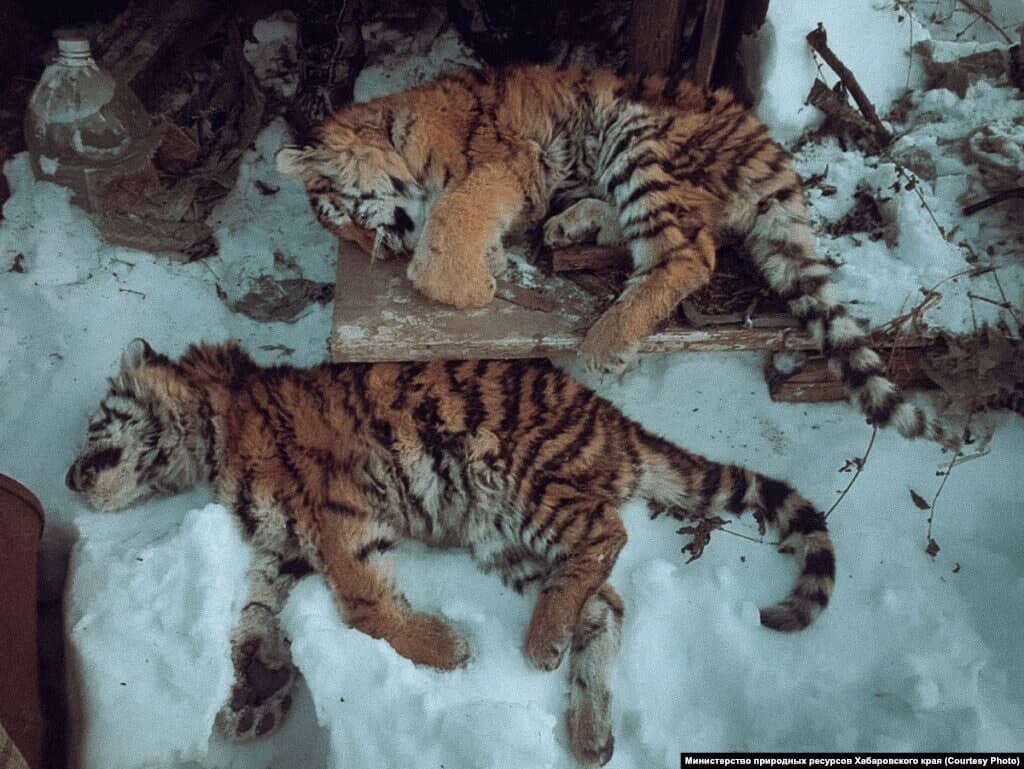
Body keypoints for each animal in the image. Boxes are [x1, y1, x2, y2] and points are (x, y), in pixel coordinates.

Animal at [66, 339, 836, 765]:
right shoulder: (282, 545)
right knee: (606, 604)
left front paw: (446, 648)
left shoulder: (336, 511)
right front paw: (254, 688)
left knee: (604, 534)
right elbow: (255, 607)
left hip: (518, 478)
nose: (69, 478)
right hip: (503, 535)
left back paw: (539, 645)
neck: (215, 429)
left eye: (95, 421)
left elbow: (364, 606)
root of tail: (617, 422)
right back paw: (587, 725)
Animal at [275, 64, 957, 449]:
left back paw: (606, 342)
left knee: (690, 250)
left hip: (637, 134)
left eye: (342, 219)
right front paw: (492, 263)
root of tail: (767, 145)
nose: (380, 248)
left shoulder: (498, 165)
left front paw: (473, 283)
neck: (396, 134)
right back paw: (569, 226)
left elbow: (445, 230)